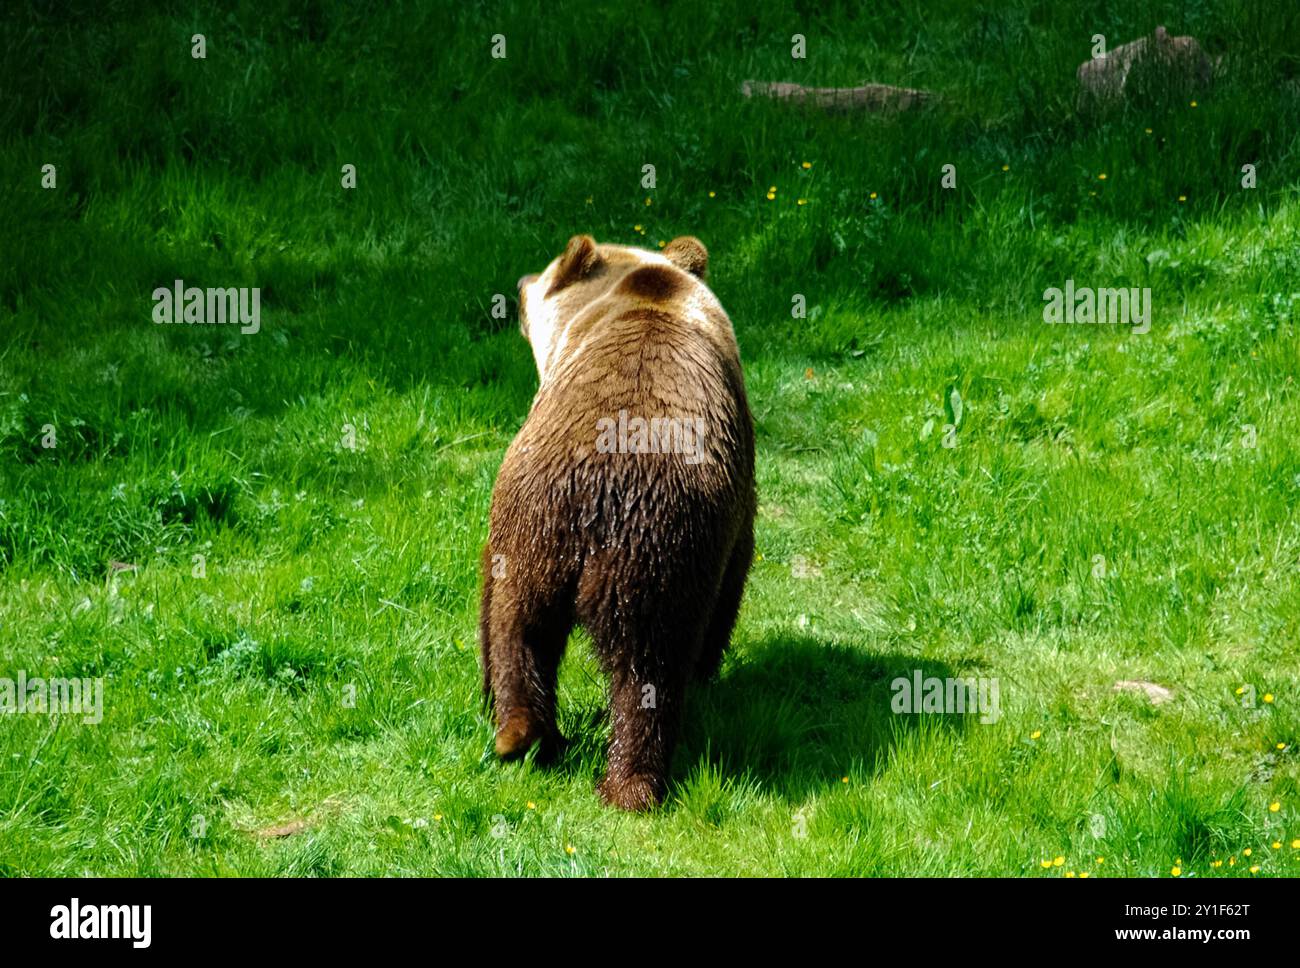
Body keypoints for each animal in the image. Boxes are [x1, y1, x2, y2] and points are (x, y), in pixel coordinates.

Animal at [479, 234, 756, 811]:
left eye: (542, 276)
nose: (519, 282)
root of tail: (599, 493)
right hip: (635, 543)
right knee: (641, 665)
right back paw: (618, 778)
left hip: (562, 528)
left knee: (520, 626)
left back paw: (532, 740)